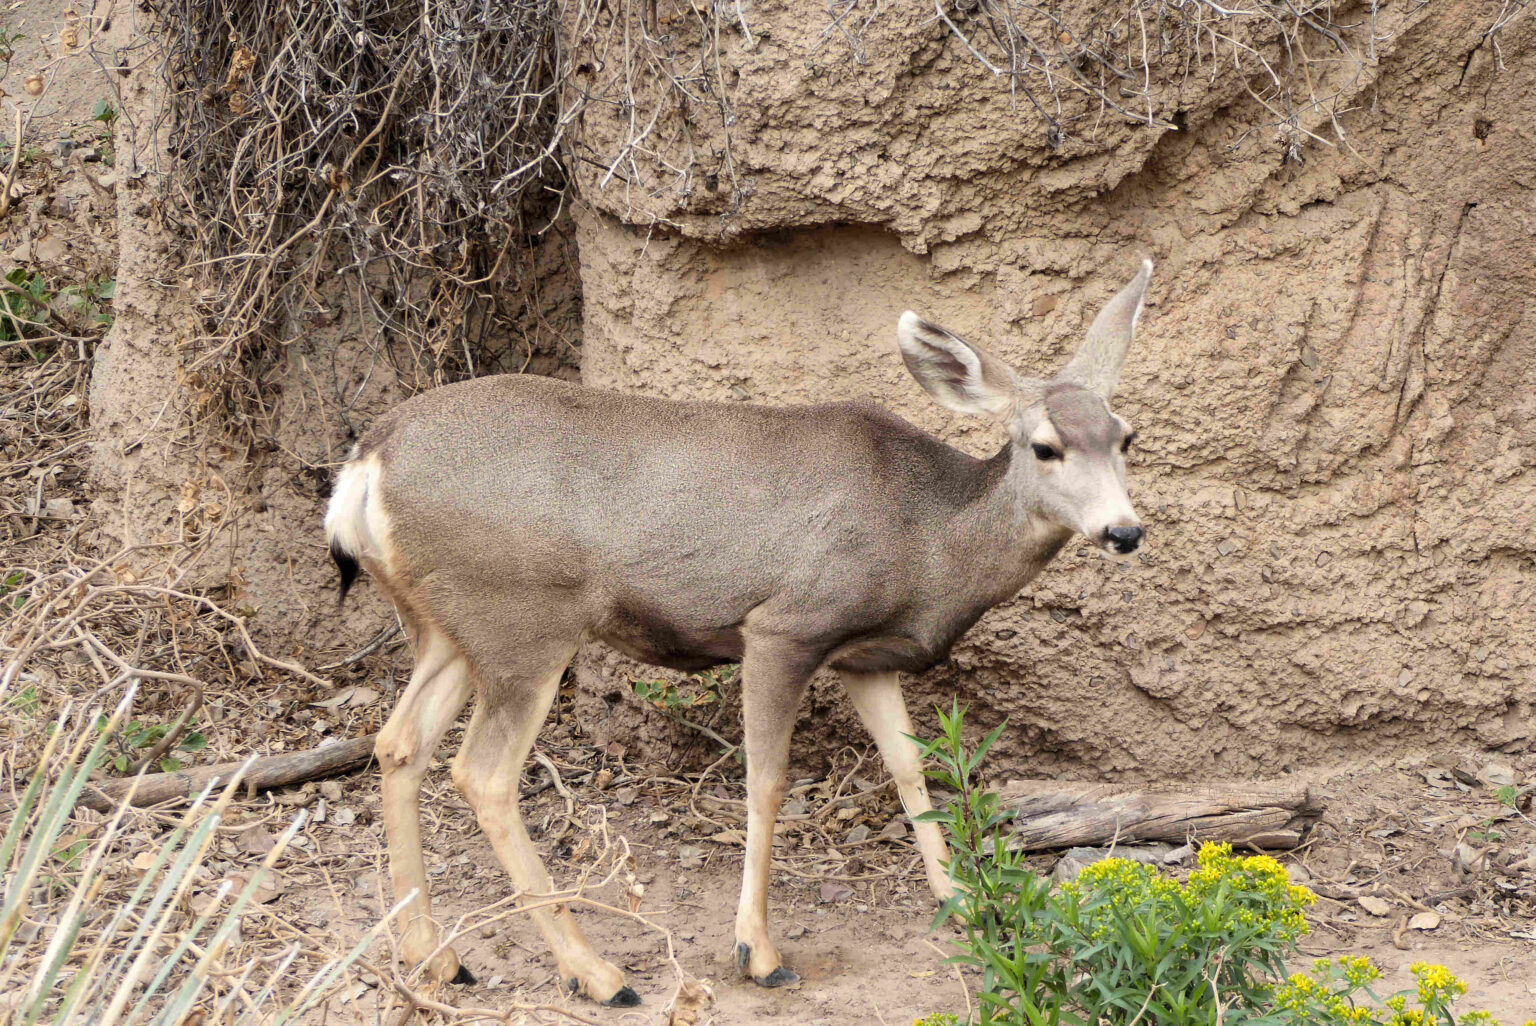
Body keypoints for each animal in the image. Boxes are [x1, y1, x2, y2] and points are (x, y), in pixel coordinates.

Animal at [323, 260, 1154, 1006]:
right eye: (1045, 446)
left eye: (1126, 437)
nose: (1125, 531)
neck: (925, 538)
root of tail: (365, 465)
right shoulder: (785, 625)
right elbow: (767, 780)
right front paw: (758, 951)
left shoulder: (864, 656)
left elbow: (911, 769)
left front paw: (960, 901)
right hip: (522, 620)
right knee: (483, 773)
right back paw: (598, 974)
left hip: (447, 626)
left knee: (399, 743)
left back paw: (436, 958)